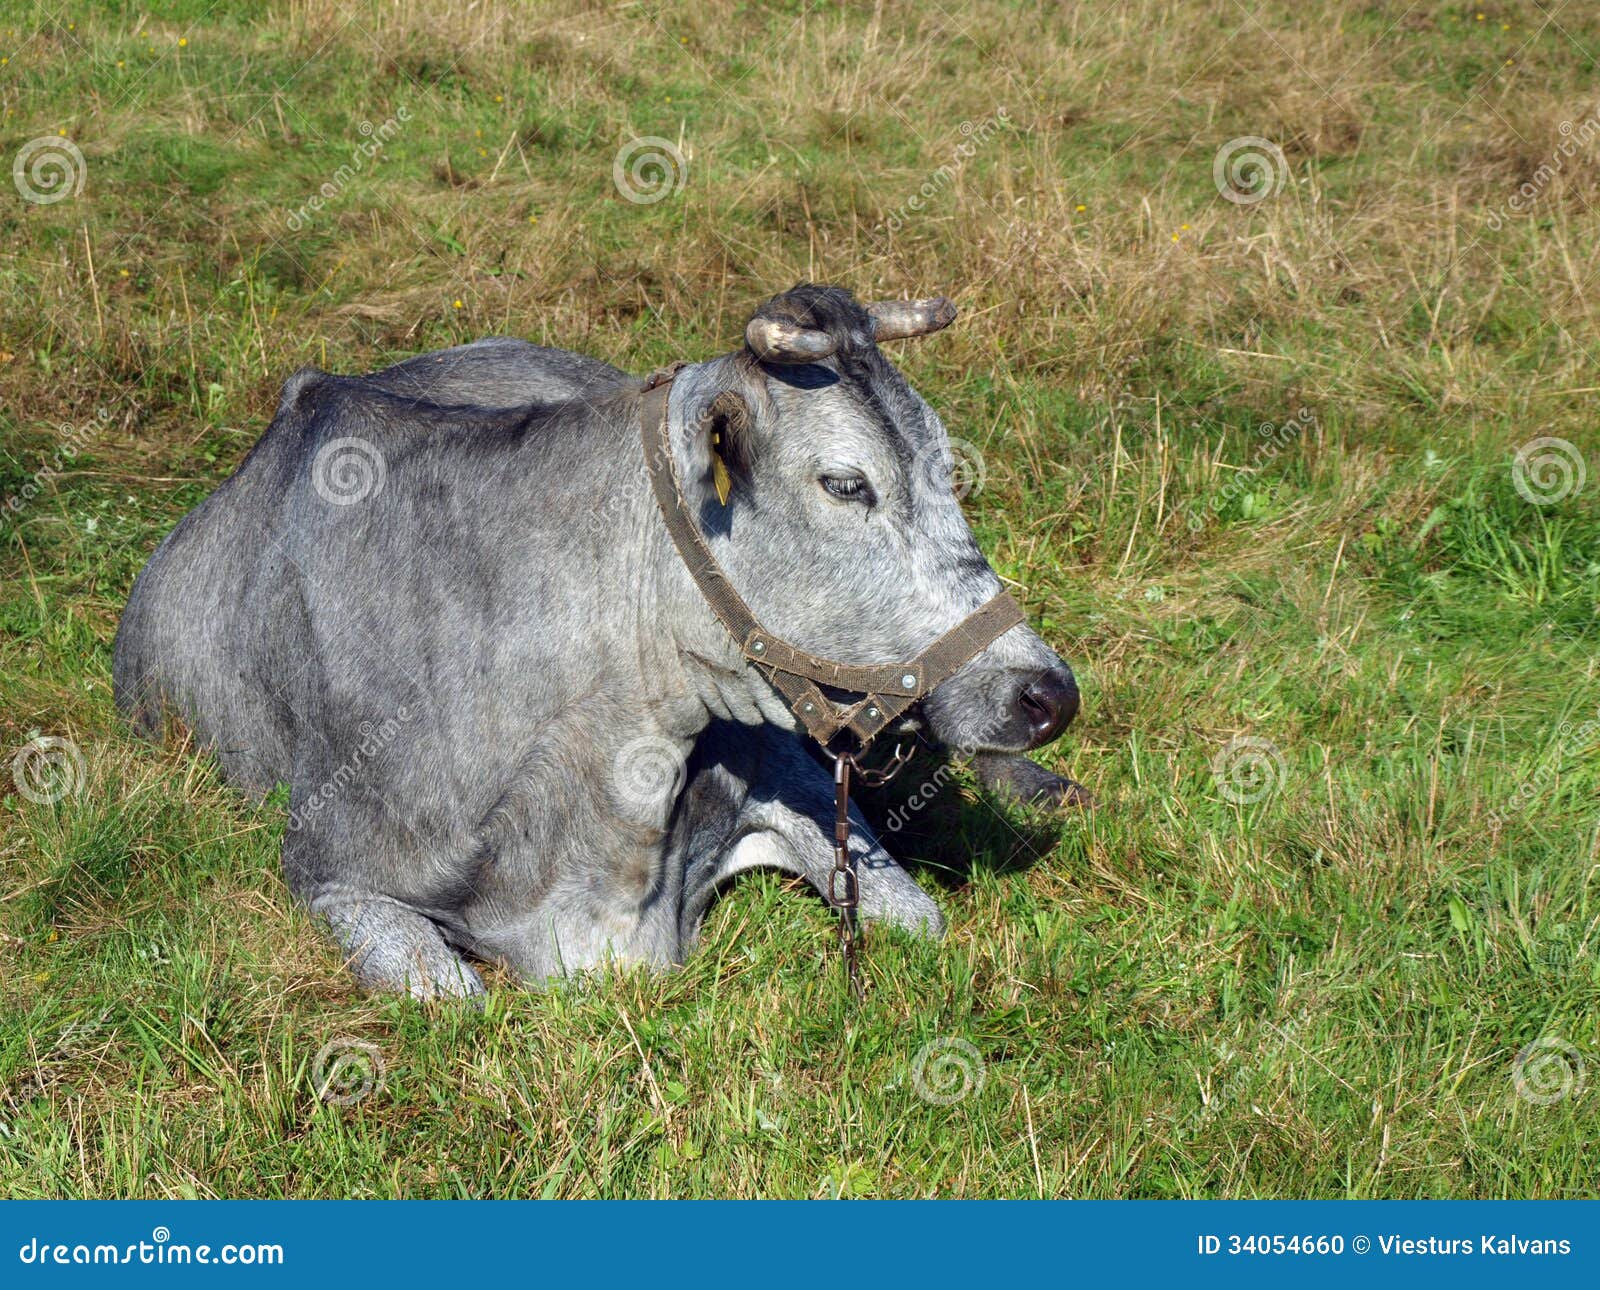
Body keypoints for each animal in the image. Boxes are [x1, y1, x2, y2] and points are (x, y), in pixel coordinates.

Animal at [113, 285, 1080, 996]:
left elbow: (918, 917)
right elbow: (446, 996)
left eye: (948, 466)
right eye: (846, 484)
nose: (1049, 694)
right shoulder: (326, 866)